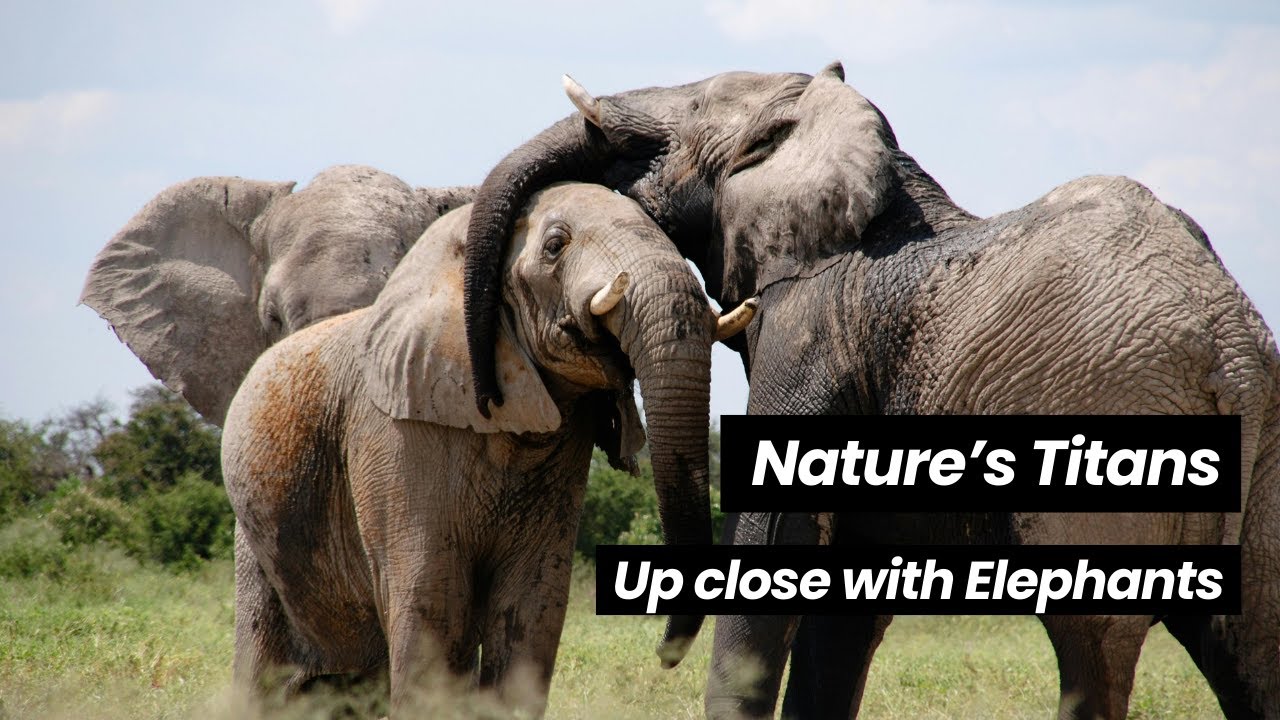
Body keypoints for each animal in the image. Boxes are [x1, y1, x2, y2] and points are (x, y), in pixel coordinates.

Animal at [221, 182, 752, 715]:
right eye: (555, 246)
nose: (664, 656)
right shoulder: (394, 434)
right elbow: (431, 599)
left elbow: (533, 604)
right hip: (255, 532)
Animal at [457, 63, 1280, 719]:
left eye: (688, 112)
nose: (489, 396)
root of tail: (1230, 349)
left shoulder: (812, 329)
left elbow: (775, 539)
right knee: (1251, 649)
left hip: (1114, 419)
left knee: (1092, 651)